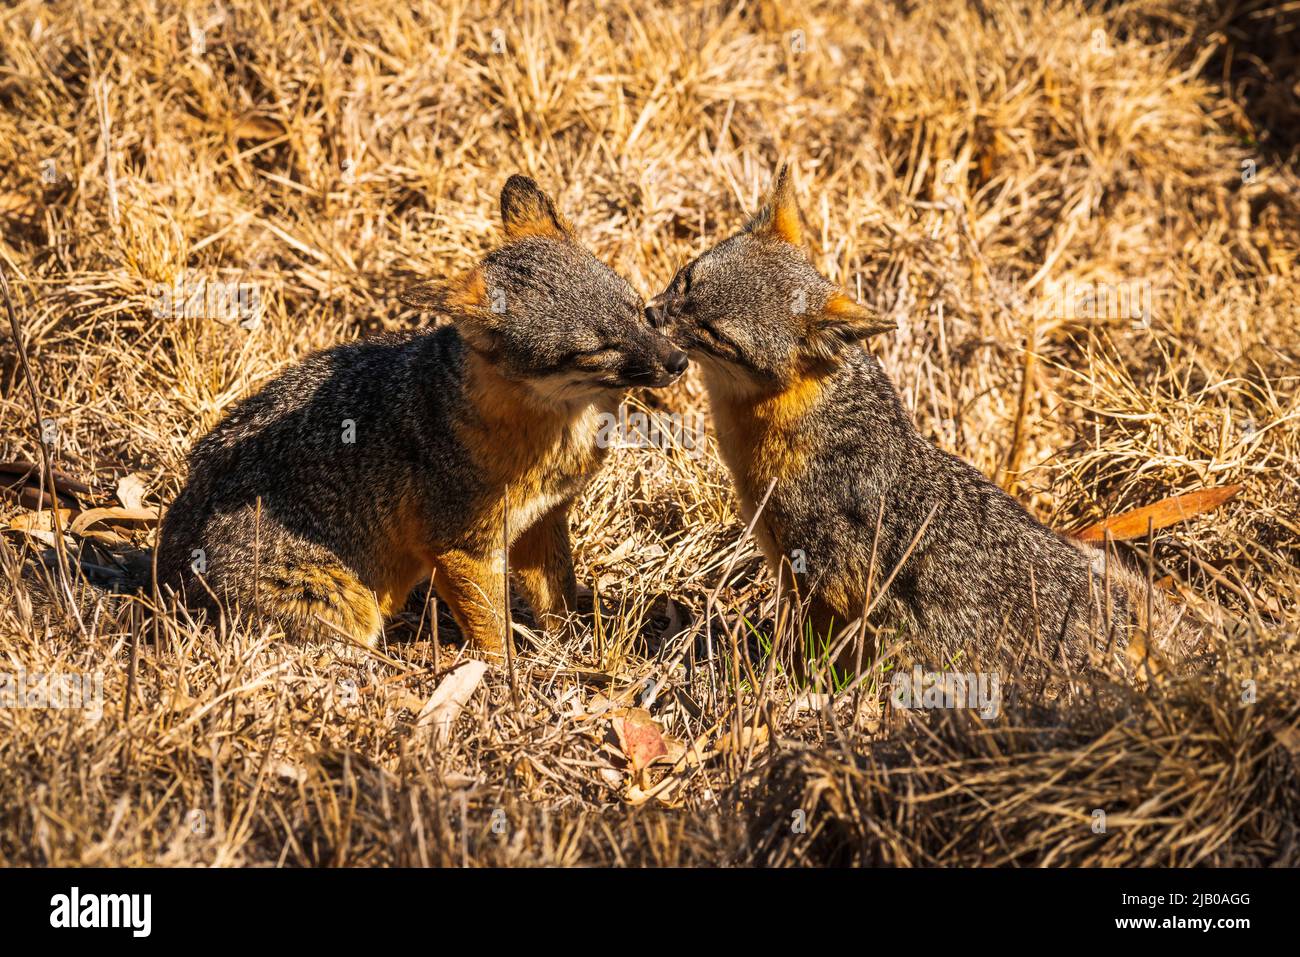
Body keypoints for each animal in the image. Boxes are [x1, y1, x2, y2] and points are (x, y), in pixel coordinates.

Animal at [156, 175, 689, 655]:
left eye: (640, 311)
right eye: (599, 348)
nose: (679, 361)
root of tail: (163, 577)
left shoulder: (543, 519)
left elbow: (557, 601)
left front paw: (572, 654)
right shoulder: (461, 548)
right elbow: (493, 633)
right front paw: (506, 682)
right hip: (346, 608)